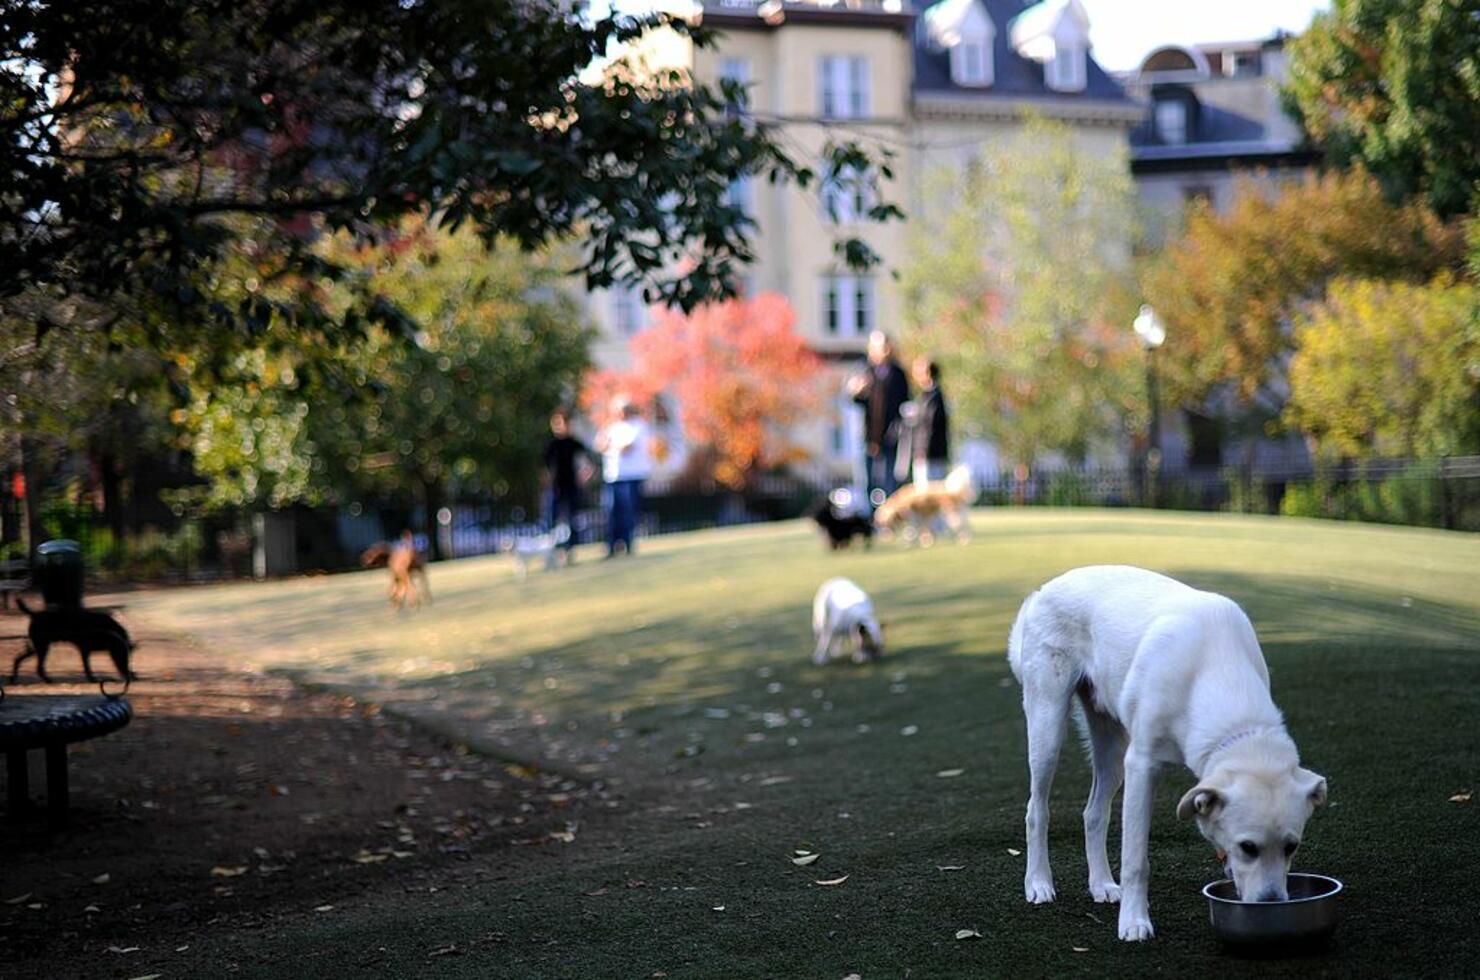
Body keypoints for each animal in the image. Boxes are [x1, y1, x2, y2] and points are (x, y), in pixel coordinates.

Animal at [1006, 568, 1332, 947]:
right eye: (1248, 847)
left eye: (1291, 847)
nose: (1271, 904)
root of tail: (1046, 587)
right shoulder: (1141, 764)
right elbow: (1136, 861)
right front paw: (1134, 923)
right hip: (1048, 726)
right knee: (1037, 809)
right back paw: (1039, 883)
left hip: (1112, 748)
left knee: (1093, 813)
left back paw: (1101, 885)